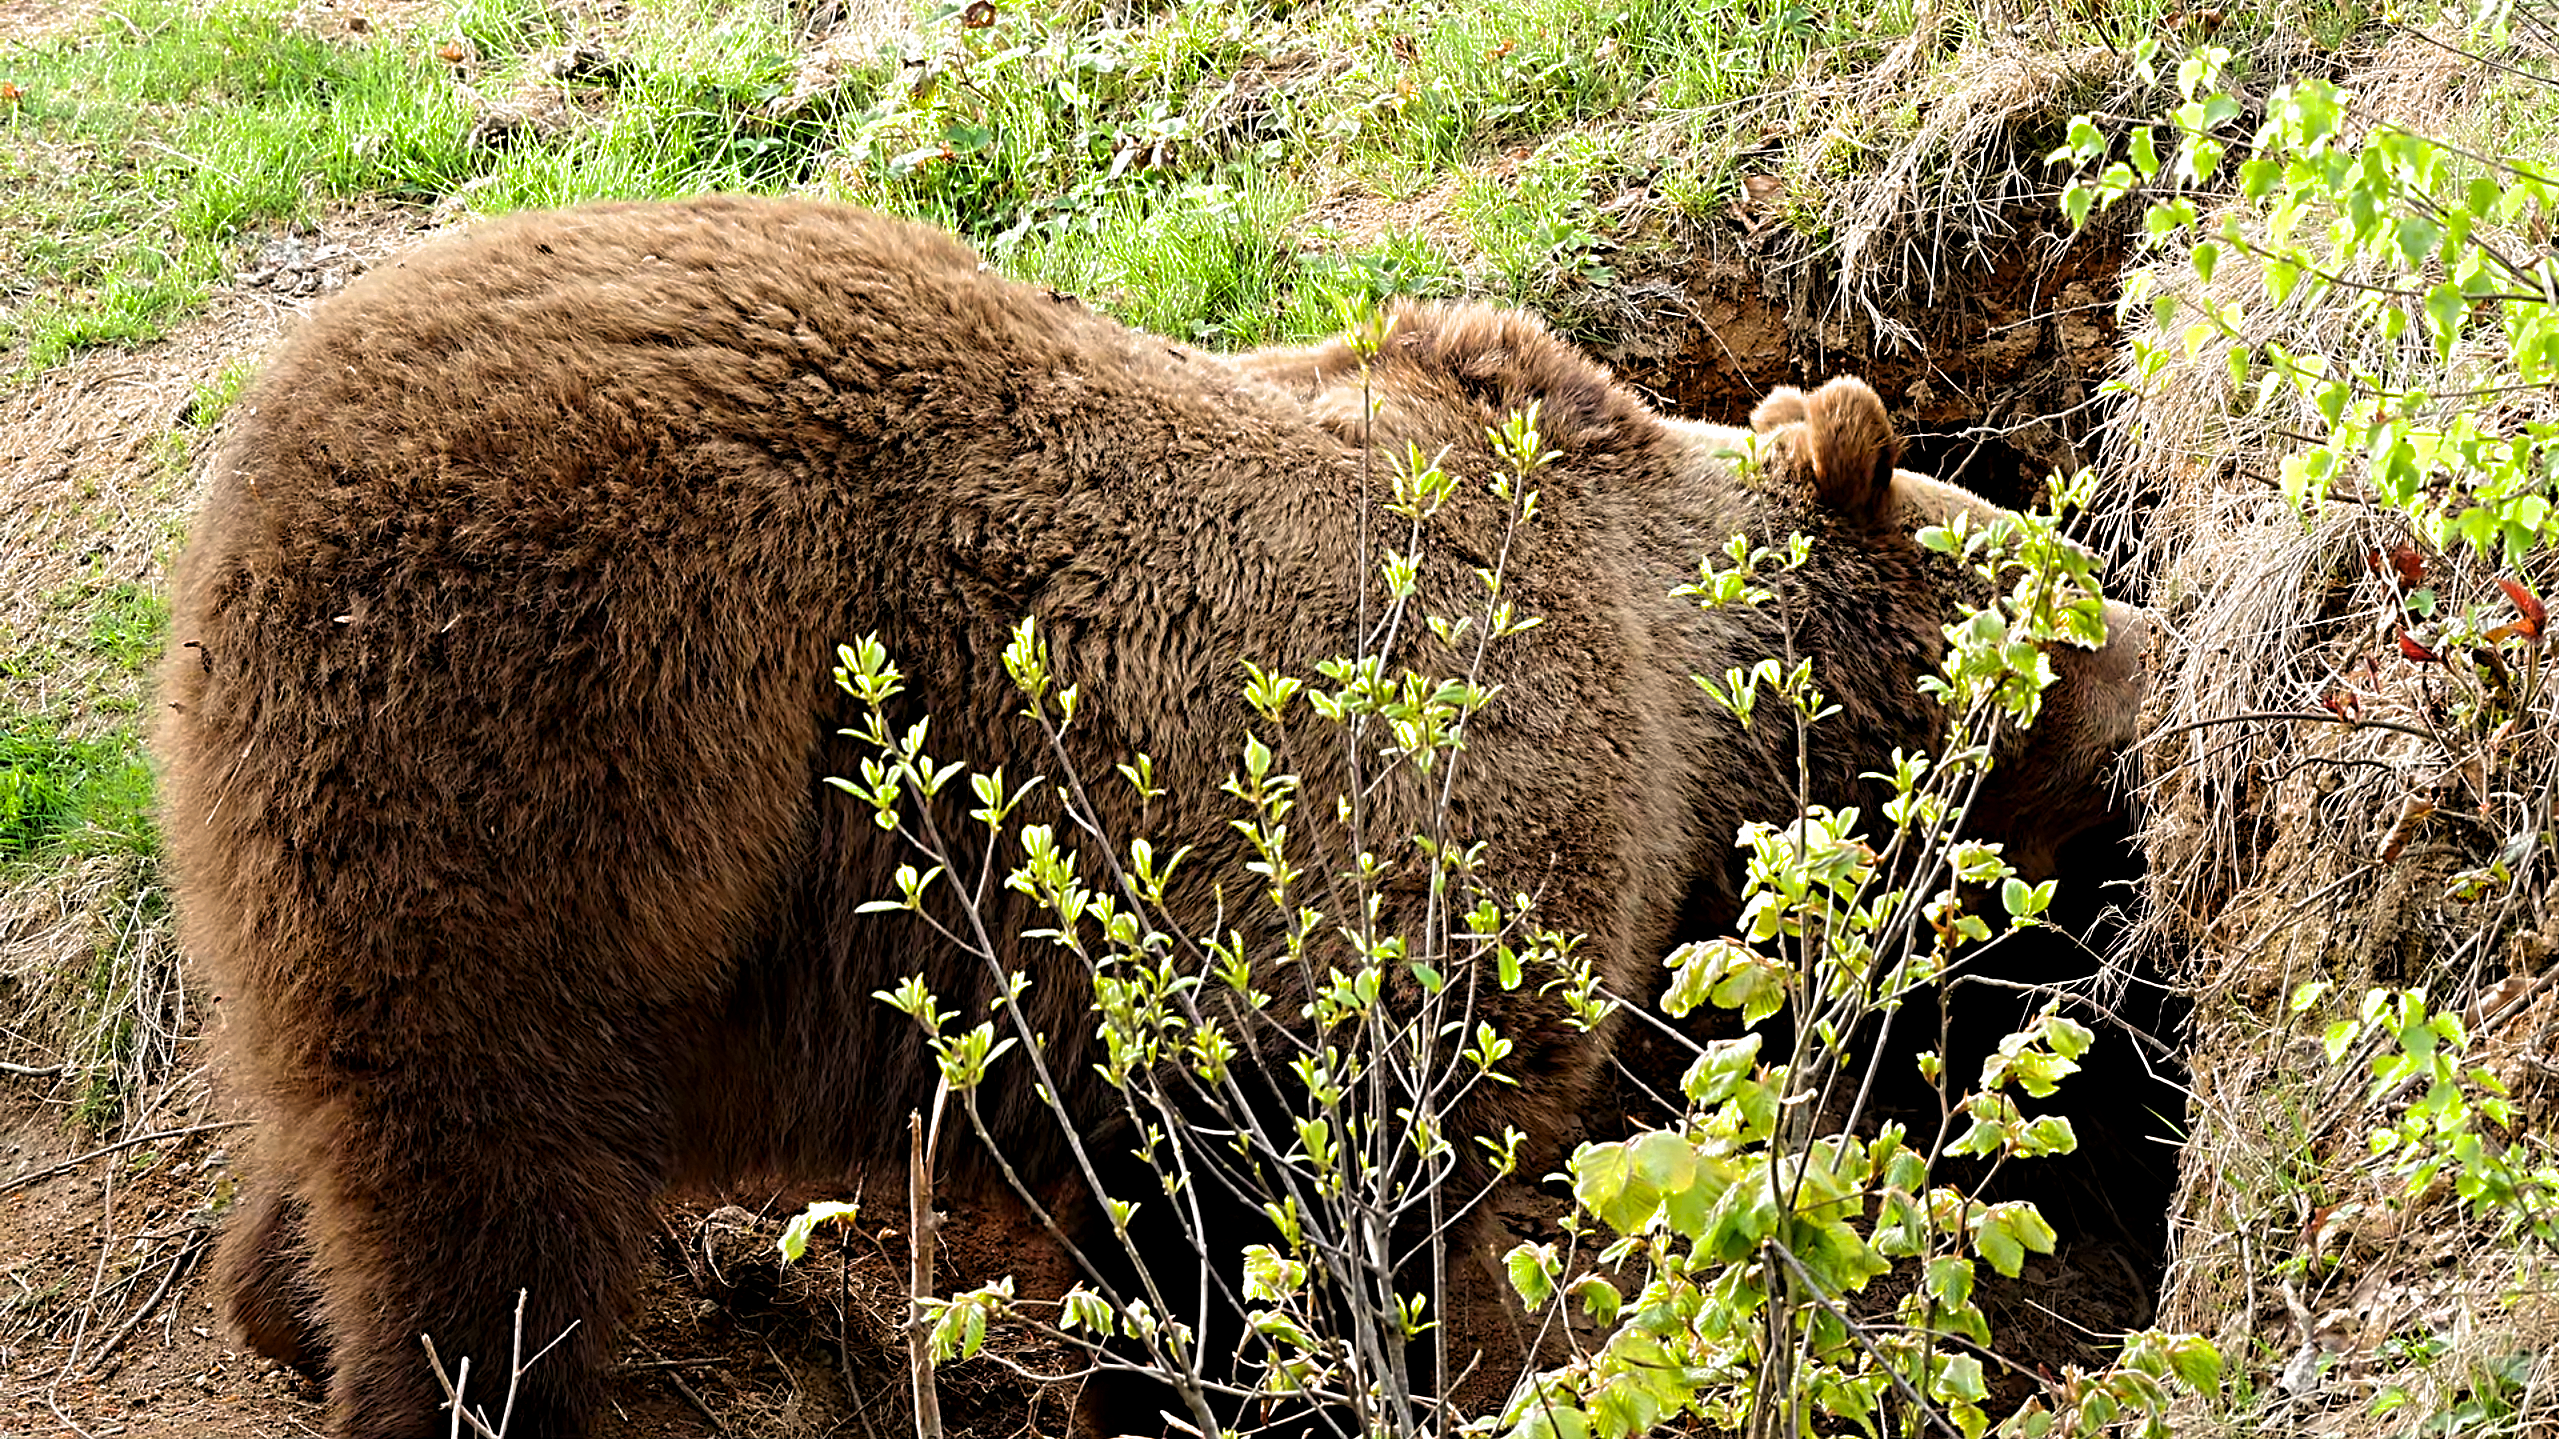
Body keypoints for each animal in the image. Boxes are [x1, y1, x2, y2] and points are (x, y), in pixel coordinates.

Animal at [156, 194, 2148, 1439]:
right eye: (2065, 593)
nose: (2158, 637)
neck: (1683, 675)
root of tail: (250, 478)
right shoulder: (1407, 853)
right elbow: (1348, 1218)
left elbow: (1180, 1234)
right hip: (570, 739)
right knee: (497, 1186)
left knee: (372, 1138)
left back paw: (284, 1302)